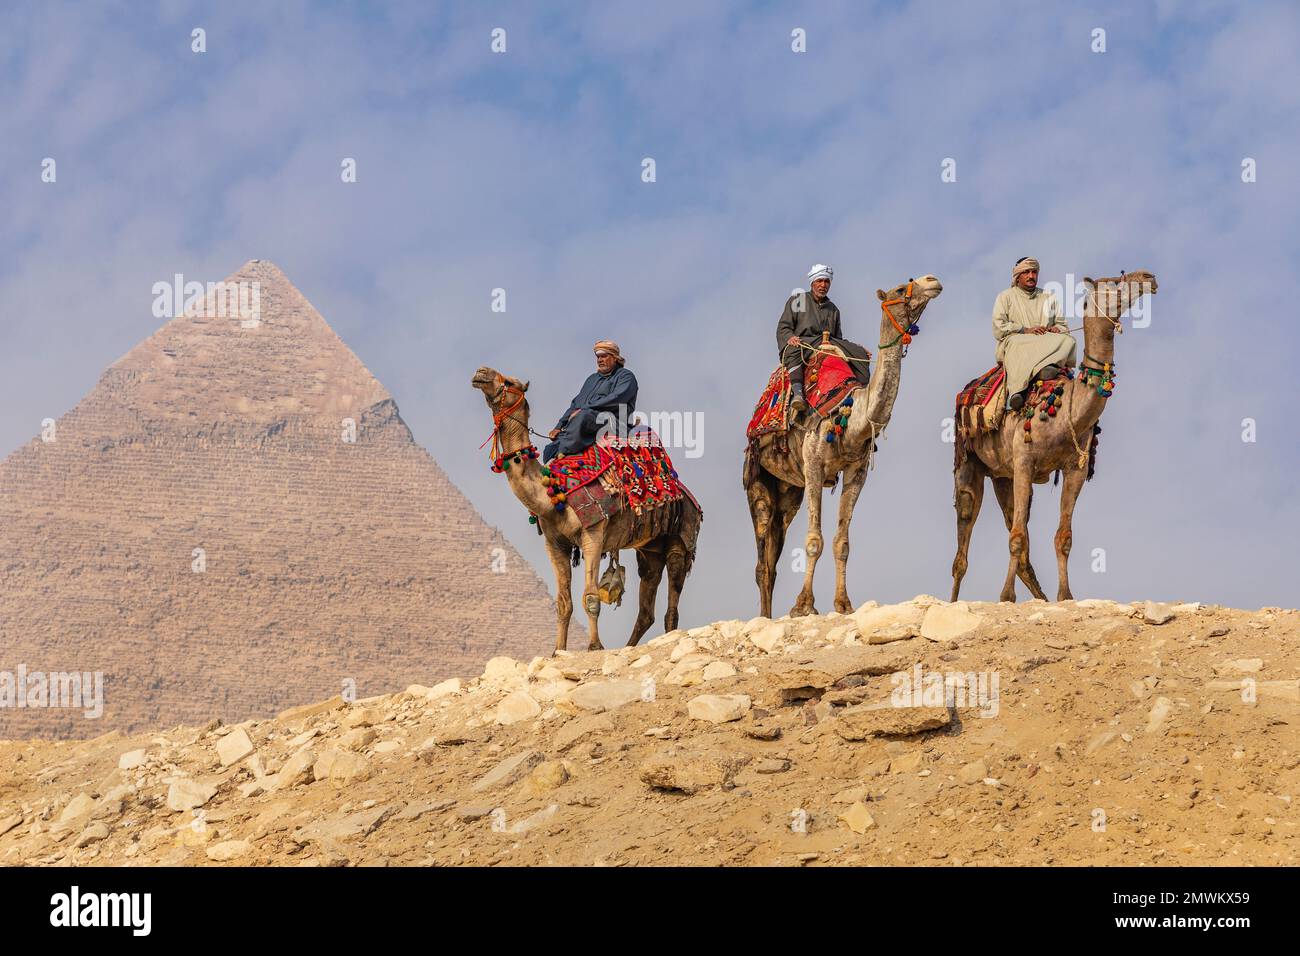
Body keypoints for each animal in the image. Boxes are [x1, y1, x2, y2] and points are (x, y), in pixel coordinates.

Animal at [471, 367, 702, 653]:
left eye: (509, 381)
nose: (480, 372)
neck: (555, 491)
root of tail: (691, 498)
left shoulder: (593, 534)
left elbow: (590, 597)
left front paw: (594, 645)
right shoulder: (555, 543)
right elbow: (563, 602)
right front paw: (557, 650)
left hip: (682, 537)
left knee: (672, 604)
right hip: (649, 550)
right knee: (646, 608)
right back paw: (628, 647)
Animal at [744, 275, 944, 618]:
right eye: (898, 290)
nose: (932, 280)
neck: (853, 416)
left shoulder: (856, 471)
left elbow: (842, 542)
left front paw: (843, 604)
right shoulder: (813, 466)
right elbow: (814, 540)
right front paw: (803, 605)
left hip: (789, 492)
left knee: (772, 552)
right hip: (756, 480)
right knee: (762, 561)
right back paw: (764, 617)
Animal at [949, 270, 1158, 602]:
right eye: (1114, 281)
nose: (1148, 277)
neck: (1066, 408)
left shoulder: (1075, 467)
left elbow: (1063, 537)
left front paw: (1065, 596)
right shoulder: (1024, 461)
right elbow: (1017, 538)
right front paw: (1005, 597)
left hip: (1002, 475)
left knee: (1013, 519)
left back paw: (1041, 596)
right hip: (969, 459)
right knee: (965, 530)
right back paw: (953, 601)